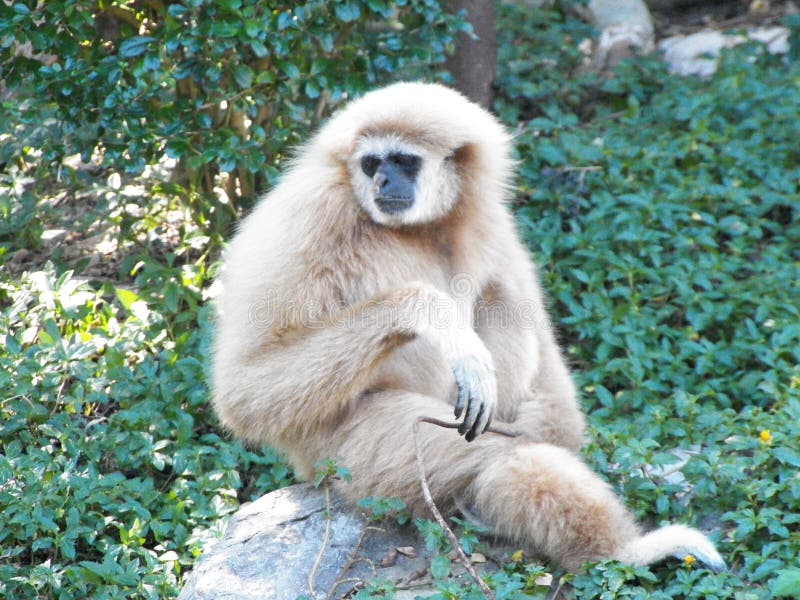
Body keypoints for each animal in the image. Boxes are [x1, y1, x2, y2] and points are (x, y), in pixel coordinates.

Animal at [211, 82, 726, 573]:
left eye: (403, 161)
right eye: (370, 162)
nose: (381, 179)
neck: (416, 228)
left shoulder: (489, 217)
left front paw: (554, 429)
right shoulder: (310, 215)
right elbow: (245, 388)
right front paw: (430, 314)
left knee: (503, 297)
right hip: (344, 452)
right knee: (497, 455)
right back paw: (626, 554)